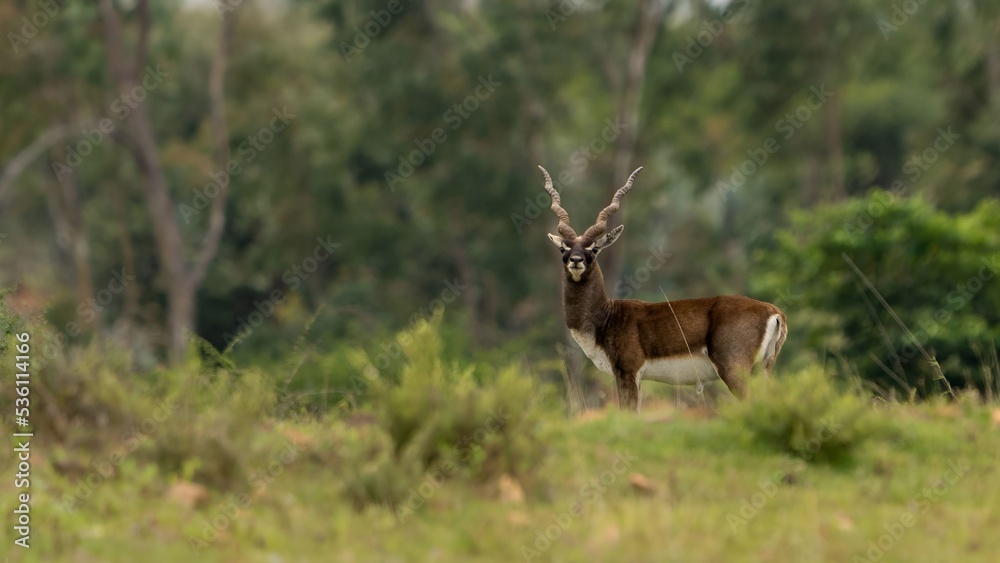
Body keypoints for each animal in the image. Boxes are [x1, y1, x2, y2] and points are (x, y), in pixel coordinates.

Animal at [539, 165, 787, 410]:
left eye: (594, 248)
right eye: (563, 248)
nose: (576, 260)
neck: (607, 316)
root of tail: (774, 312)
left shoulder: (628, 371)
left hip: (735, 370)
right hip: (764, 369)